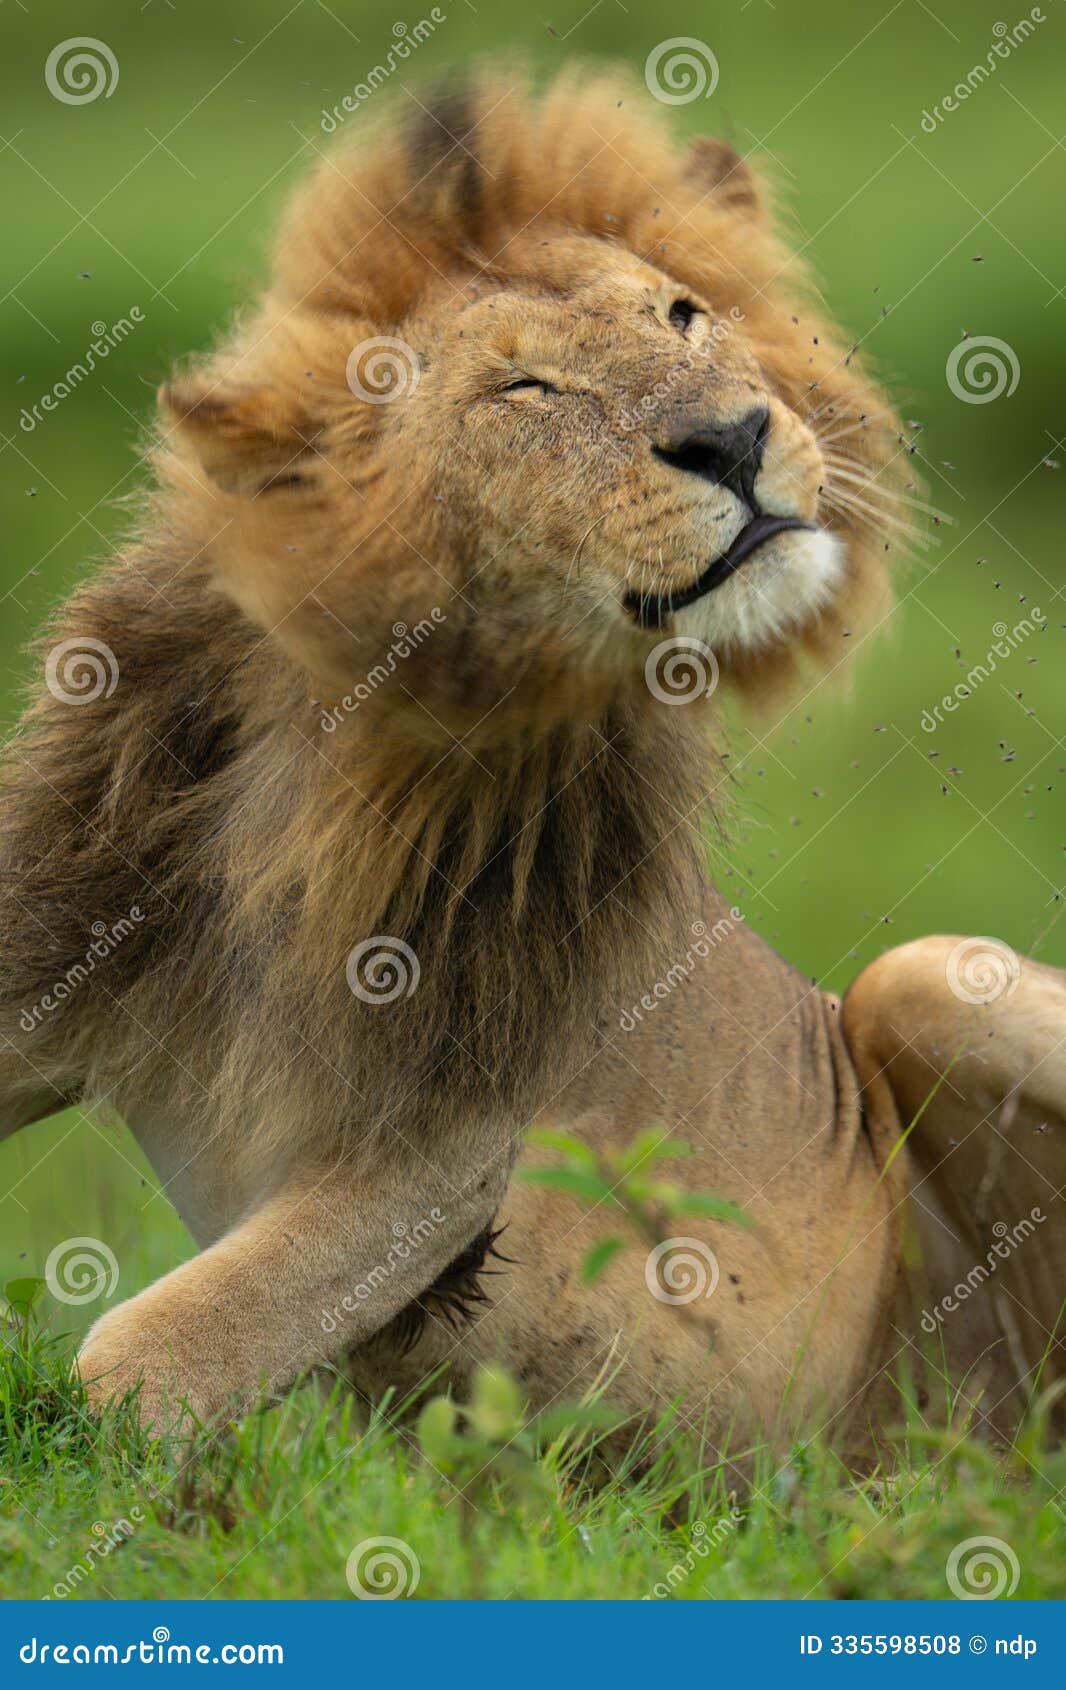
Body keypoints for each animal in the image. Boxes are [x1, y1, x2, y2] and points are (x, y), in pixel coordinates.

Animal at [1, 68, 1062, 1457]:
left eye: (681, 313)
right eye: (527, 391)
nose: (734, 436)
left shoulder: (448, 1136)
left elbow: (131, 1360)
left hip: (924, 976)